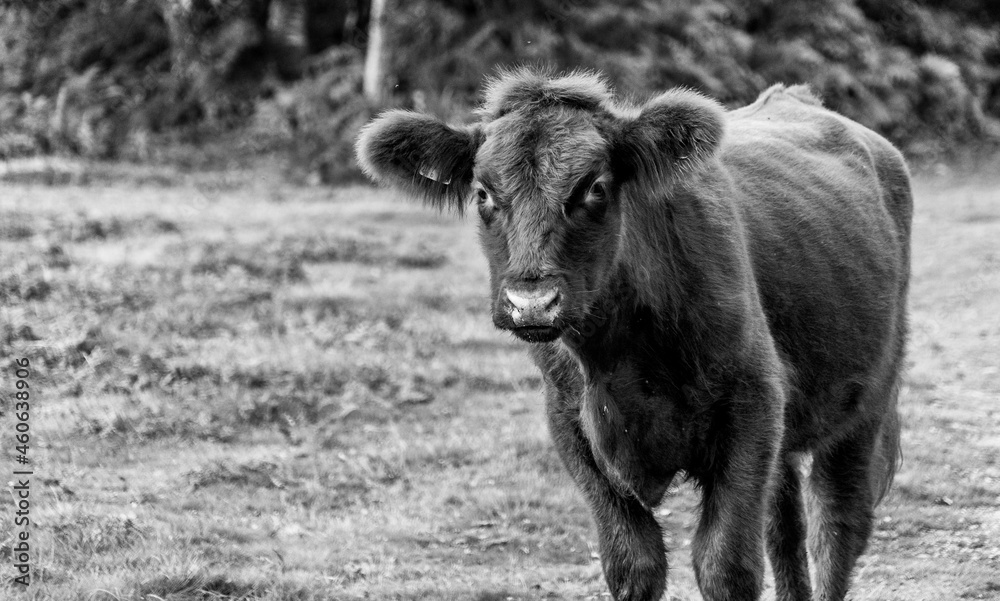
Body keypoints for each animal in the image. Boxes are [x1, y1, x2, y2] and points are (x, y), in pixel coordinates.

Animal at [355, 68, 911, 601]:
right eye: (483, 193)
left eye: (595, 187)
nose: (531, 303)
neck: (619, 359)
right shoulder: (571, 425)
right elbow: (633, 565)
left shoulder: (751, 407)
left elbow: (726, 565)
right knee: (785, 525)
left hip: (867, 404)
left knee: (836, 526)